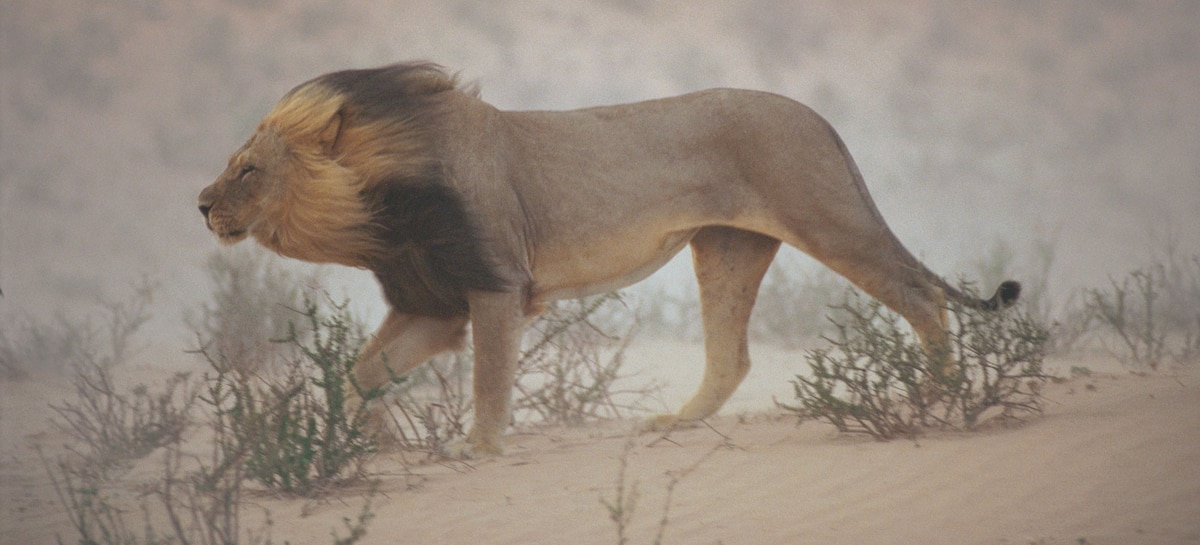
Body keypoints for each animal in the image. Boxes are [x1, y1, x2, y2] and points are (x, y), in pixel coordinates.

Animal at [198, 62, 1019, 457]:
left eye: (249, 171)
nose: (201, 204)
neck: (378, 208)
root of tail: (818, 116)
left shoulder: (495, 286)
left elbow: (489, 380)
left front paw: (476, 448)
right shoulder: (434, 305)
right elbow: (363, 373)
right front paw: (371, 443)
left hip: (829, 219)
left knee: (922, 296)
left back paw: (933, 396)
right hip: (727, 246)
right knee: (733, 357)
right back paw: (675, 423)